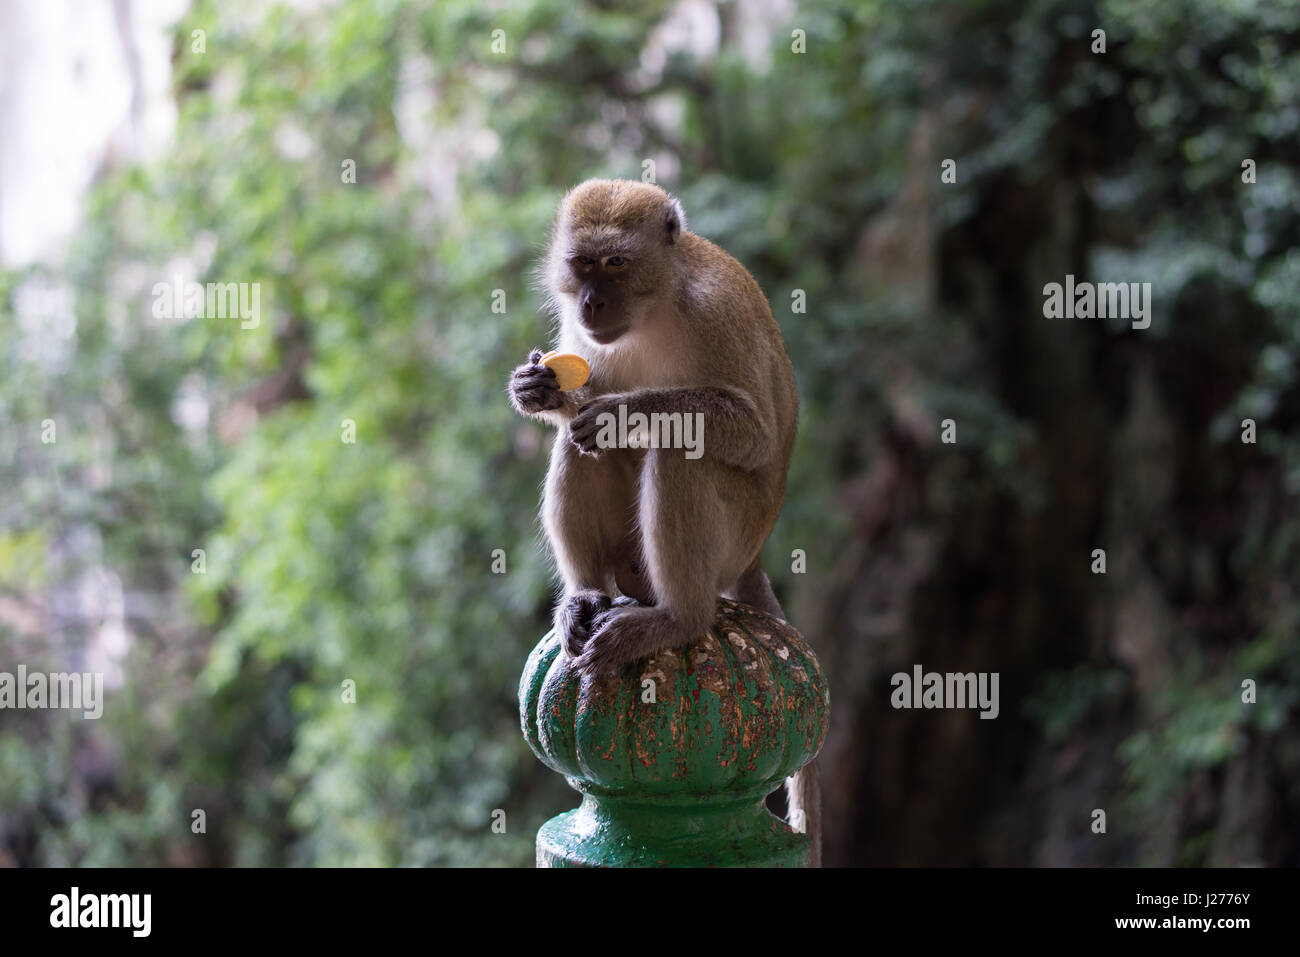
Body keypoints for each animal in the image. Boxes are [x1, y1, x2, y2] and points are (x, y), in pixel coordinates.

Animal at [507, 178, 820, 865]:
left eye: (617, 262)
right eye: (582, 265)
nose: (593, 301)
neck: (656, 305)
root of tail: (753, 556)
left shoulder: (713, 314)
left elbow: (749, 434)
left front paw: (626, 410)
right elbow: (574, 412)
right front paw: (539, 390)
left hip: (734, 537)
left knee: (681, 452)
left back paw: (679, 618)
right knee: (580, 448)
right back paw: (586, 596)